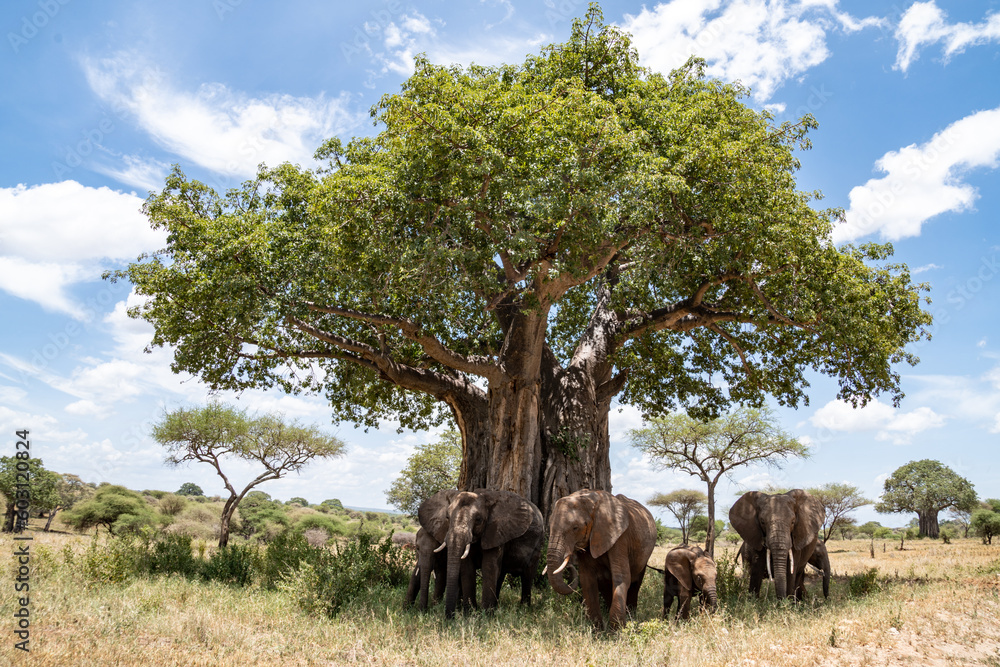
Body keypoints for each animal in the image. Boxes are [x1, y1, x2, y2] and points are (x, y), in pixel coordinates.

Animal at [419, 487, 544, 619]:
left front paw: (485, 617)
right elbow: (468, 569)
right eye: (447, 517)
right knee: (501, 574)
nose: (450, 617)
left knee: (528, 576)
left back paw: (524, 609)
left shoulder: (496, 532)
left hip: (538, 543)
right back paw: (497, 606)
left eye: (478, 520)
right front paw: (470, 614)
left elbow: (489, 567)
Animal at [546, 489, 657, 630]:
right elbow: (587, 580)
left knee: (635, 583)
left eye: (575, 528)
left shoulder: (621, 538)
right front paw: (598, 632)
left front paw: (617, 632)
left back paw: (632, 617)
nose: (569, 565)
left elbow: (621, 577)